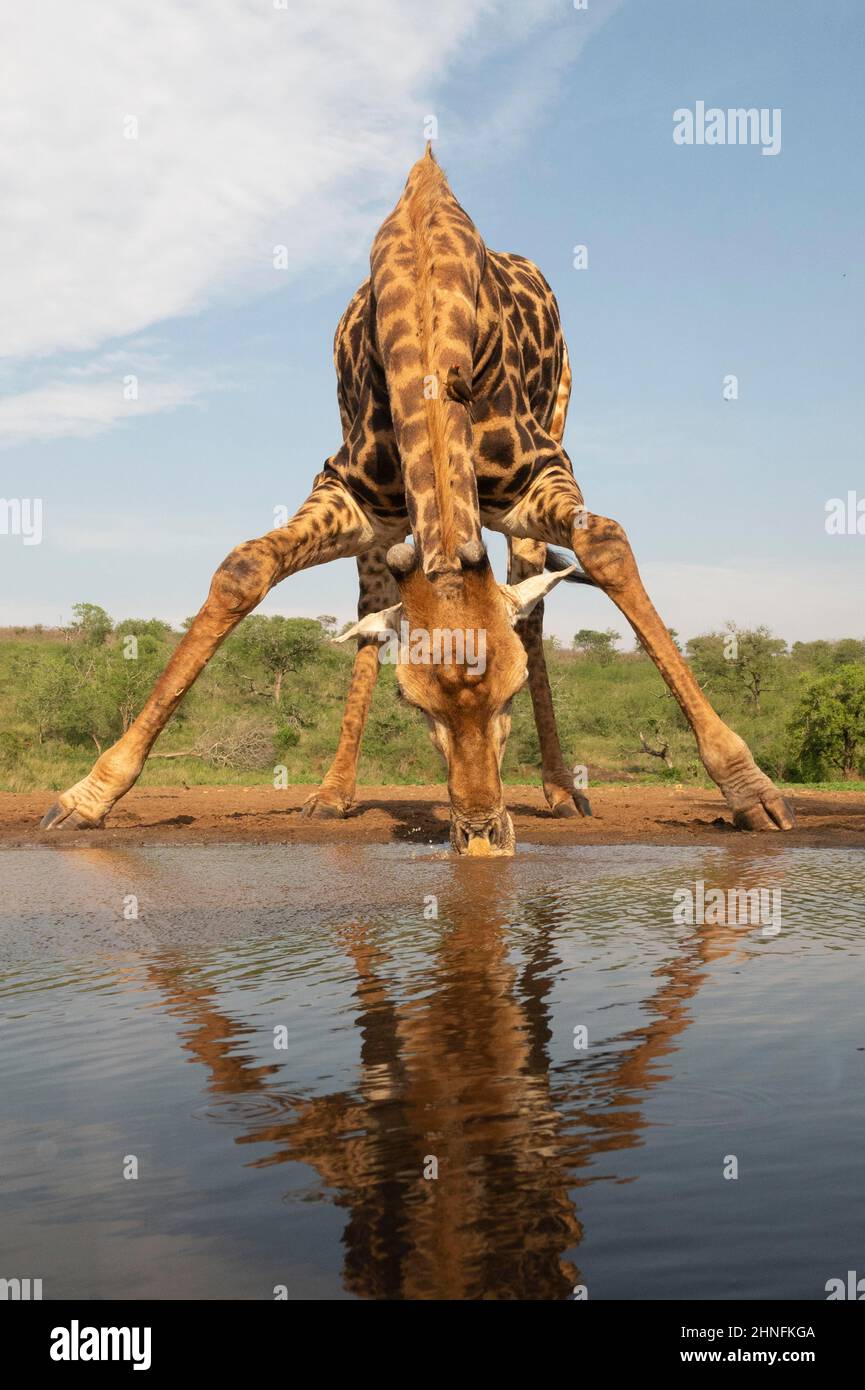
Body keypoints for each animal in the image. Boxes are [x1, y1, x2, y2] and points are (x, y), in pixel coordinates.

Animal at [41, 147, 794, 852]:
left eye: (511, 689)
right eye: (415, 704)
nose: (483, 833)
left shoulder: (541, 474)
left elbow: (604, 545)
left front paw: (751, 791)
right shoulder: (352, 496)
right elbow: (244, 568)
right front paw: (87, 796)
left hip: (553, 425)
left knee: (533, 601)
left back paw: (559, 791)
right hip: (386, 530)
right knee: (372, 614)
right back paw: (334, 792)